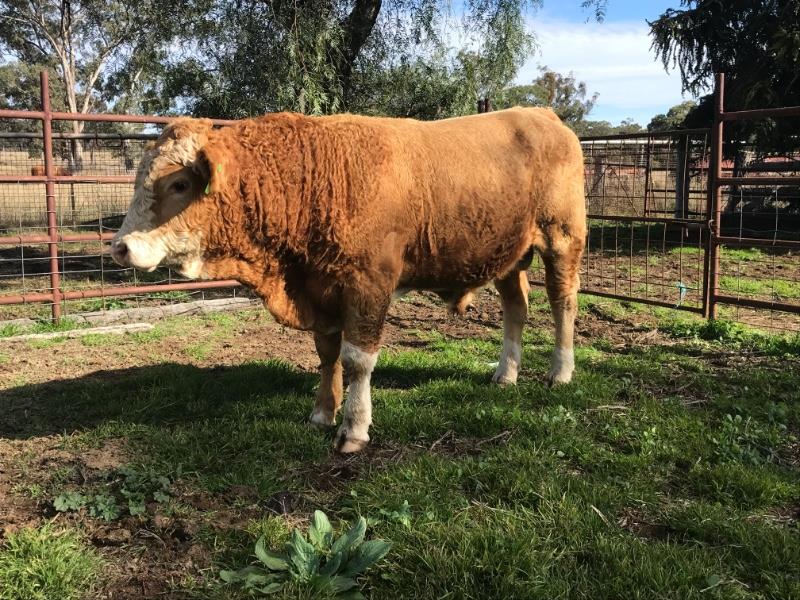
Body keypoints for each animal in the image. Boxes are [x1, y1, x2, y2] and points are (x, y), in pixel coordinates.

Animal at [110, 108, 587, 453]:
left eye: (179, 183)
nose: (120, 247)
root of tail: (542, 114)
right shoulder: (320, 289)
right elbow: (327, 354)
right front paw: (322, 413)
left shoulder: (368, 286)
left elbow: (358, 359)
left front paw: (353, 428)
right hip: (509, 255)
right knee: (516, 309)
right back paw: (505, 374)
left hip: (562, 239)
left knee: (563, 303)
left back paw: (560, 372)